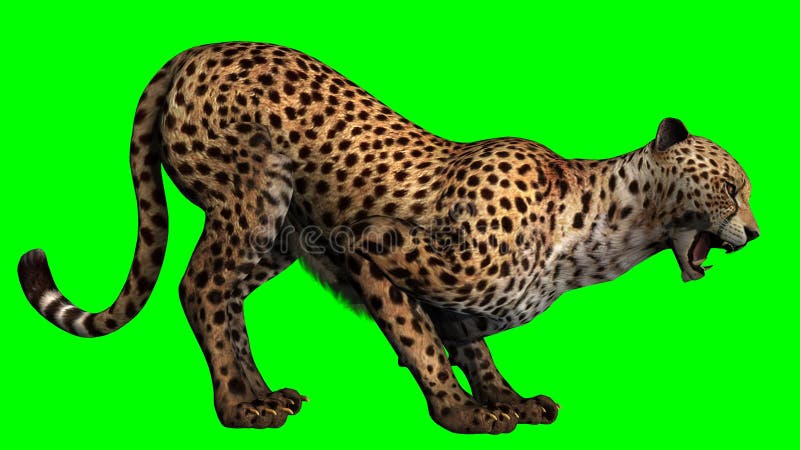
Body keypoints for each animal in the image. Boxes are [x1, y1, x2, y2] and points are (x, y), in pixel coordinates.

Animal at [17, 42, 759, 434]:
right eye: (730, 186)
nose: (754, 232)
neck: (602, 230)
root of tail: (200, 48)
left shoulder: (461, 304)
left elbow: (475, 350)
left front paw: (509, 399)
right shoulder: (371, 246)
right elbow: (422, 345)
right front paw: (464, 414)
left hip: (280, 235)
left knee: (225, 298)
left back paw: (264, 392)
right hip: (252, 203)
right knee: (199, 286)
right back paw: (240, 407)